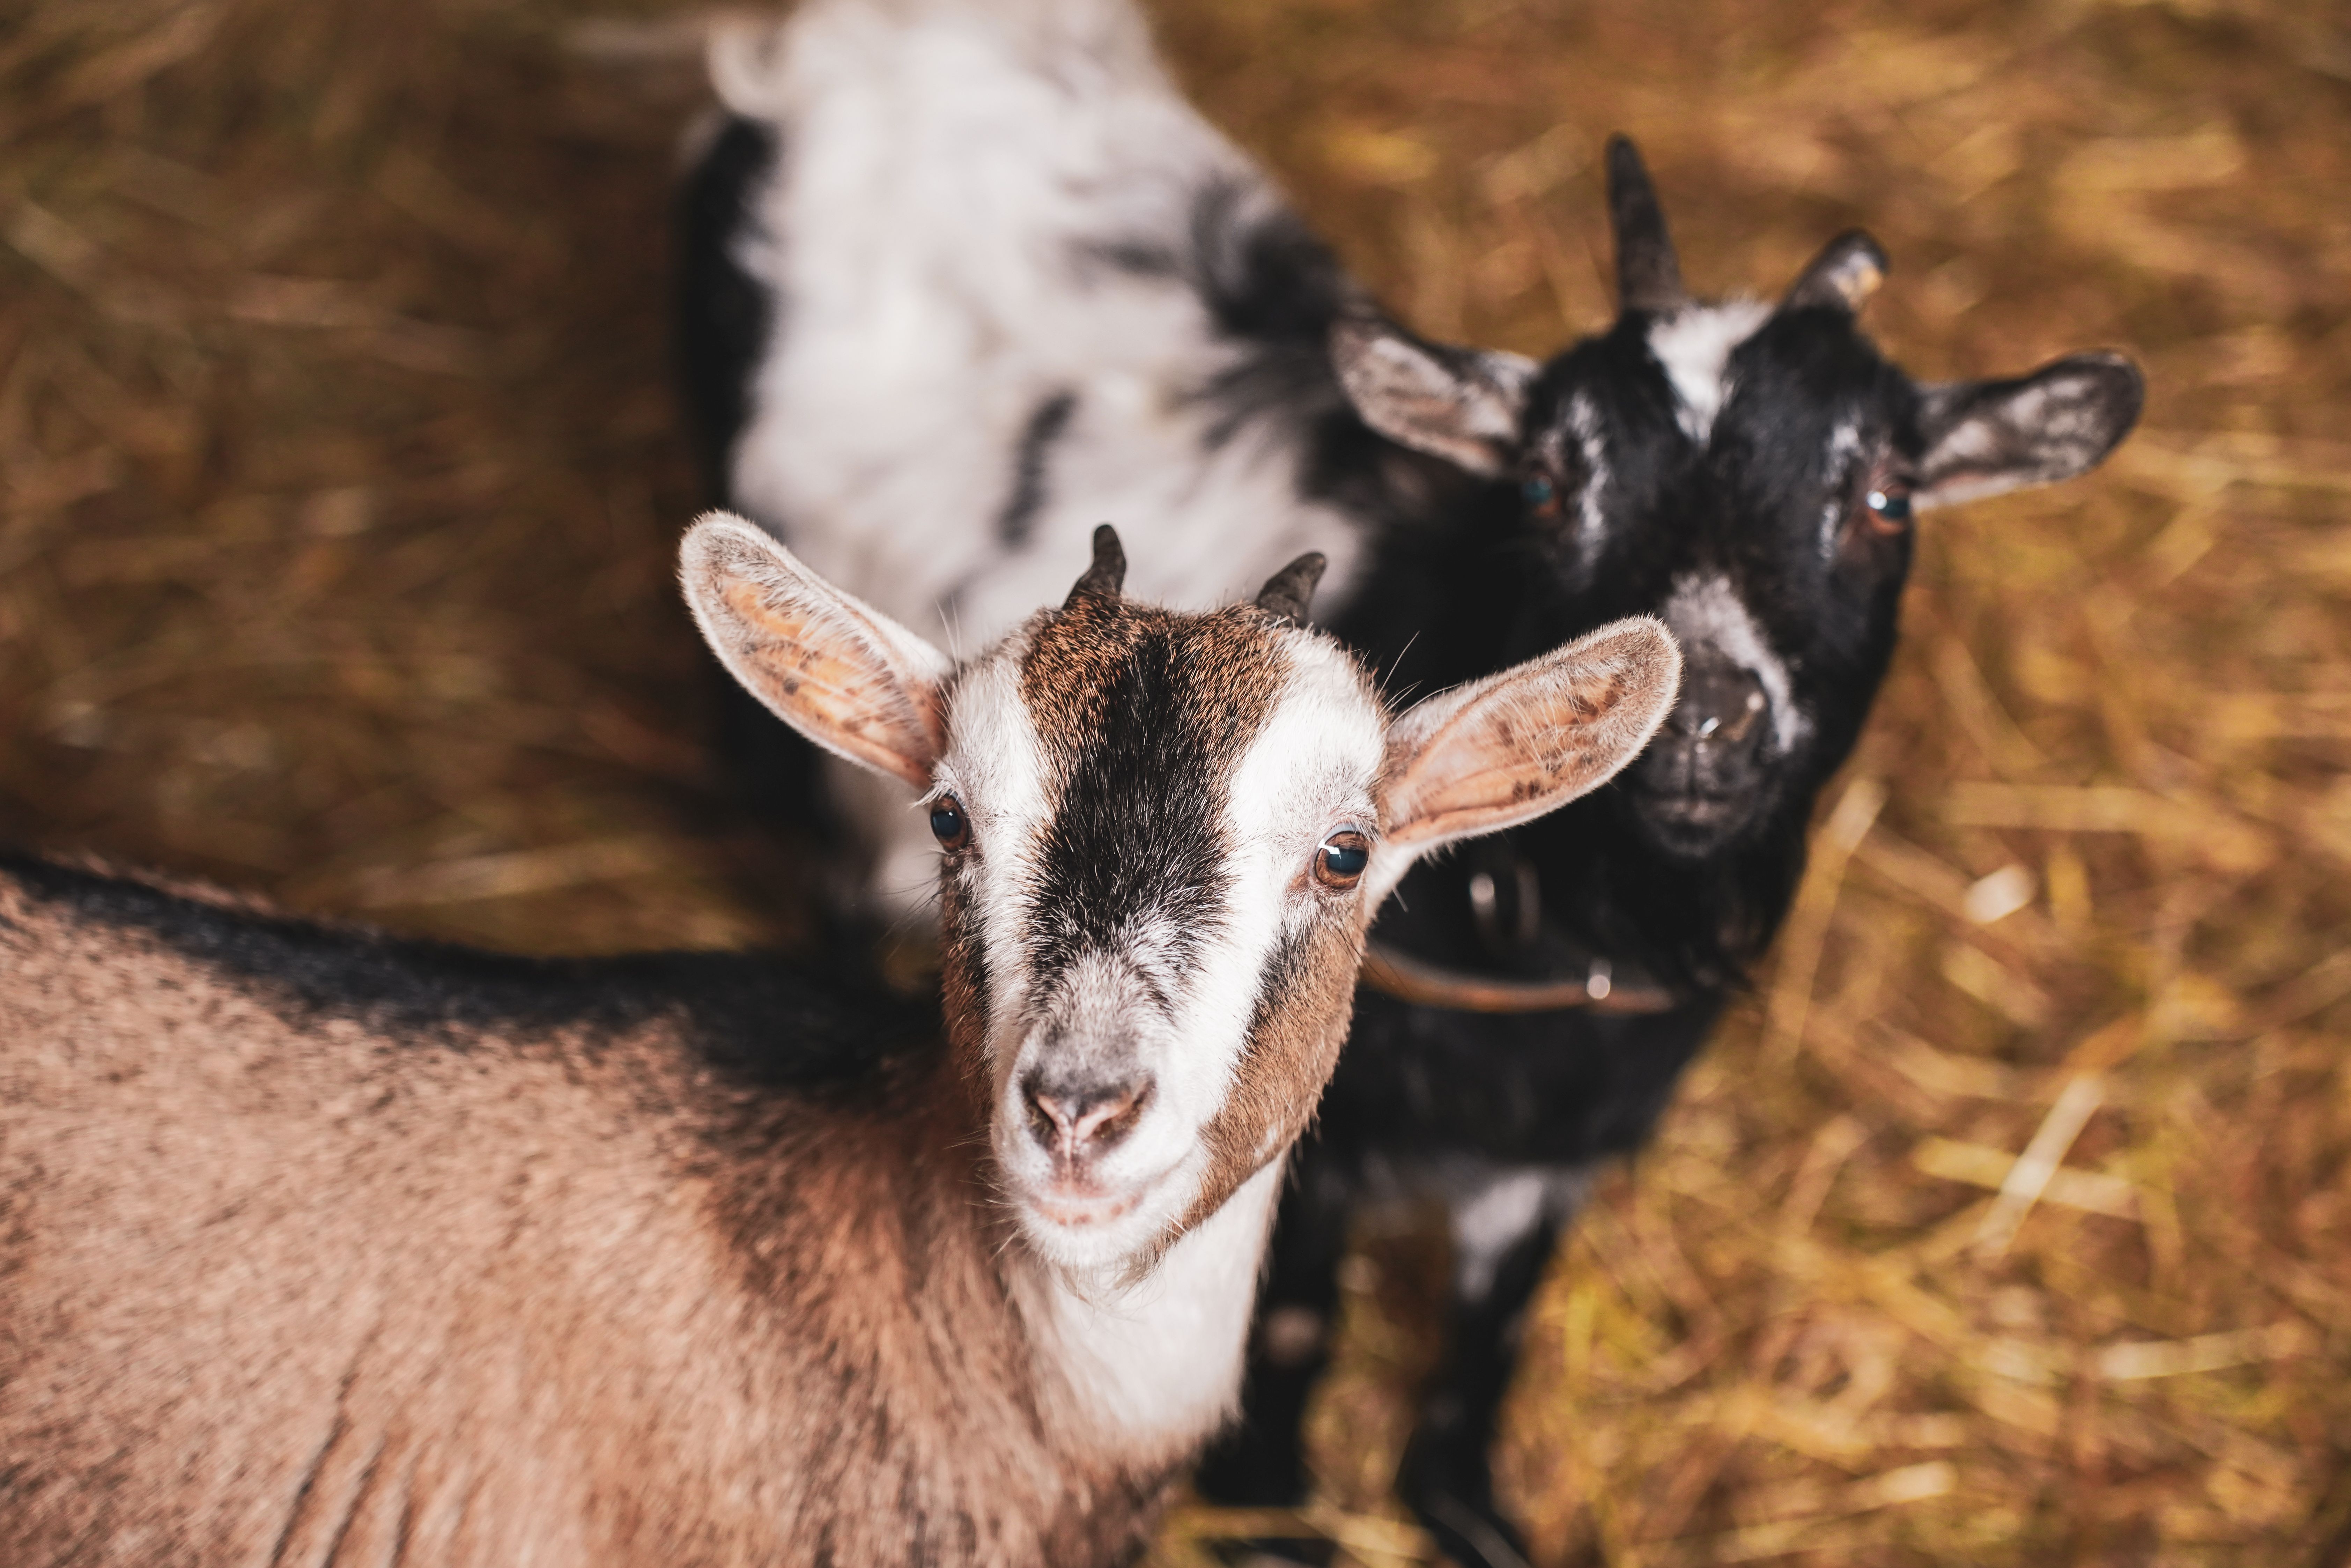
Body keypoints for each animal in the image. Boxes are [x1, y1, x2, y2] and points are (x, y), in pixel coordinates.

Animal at [675, 4, 2143, 1561]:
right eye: (1550, 484)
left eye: (1881, 499)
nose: (1704, 718)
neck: (1569, 930)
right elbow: (1296, 1321)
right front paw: (1270, 1503)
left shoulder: (1567, 1134)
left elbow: (1490, 1326)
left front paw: (1463, 1504)